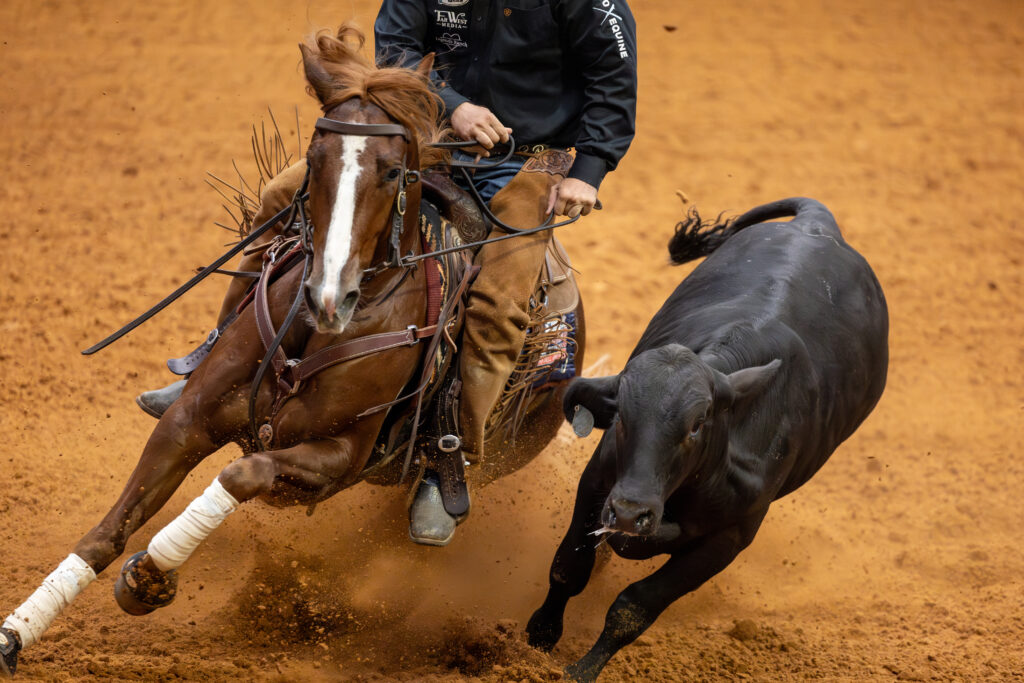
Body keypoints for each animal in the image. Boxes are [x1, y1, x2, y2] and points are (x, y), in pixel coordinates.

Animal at [0, 26, 584, 675]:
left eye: (392, 172)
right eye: (317, 157)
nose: (329, 296)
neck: (321, 332)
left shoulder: (339, 460)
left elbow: (243, 471)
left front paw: (151, 573)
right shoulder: (188, 420)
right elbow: (109, 529)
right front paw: (17, 632)